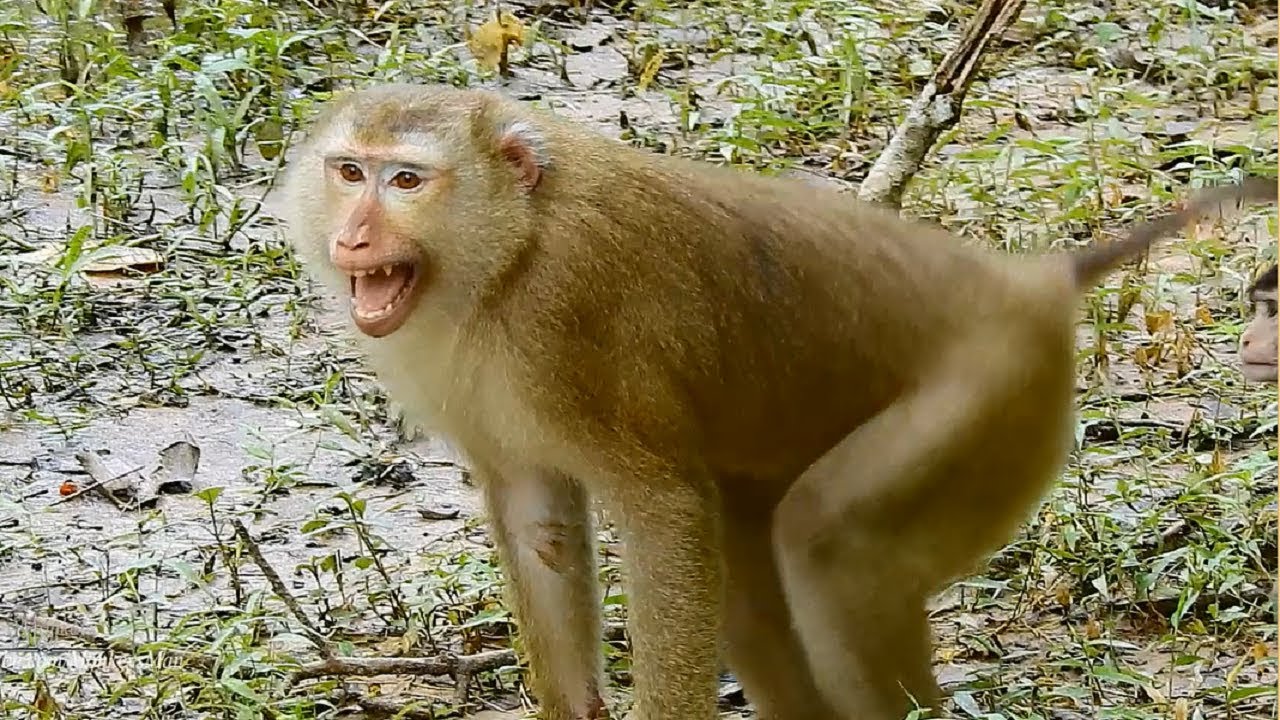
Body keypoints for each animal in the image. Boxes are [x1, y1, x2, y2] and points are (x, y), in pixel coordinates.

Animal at [278, 83, 1277, 720]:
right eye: (350, 171)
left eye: (407, 180)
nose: (353, 237)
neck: (508, 252)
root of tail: (1027, 282)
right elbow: (539, 521)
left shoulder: (566, 320)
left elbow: (664, 510)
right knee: (756, 594)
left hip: (997, 393)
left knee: (830, 542)